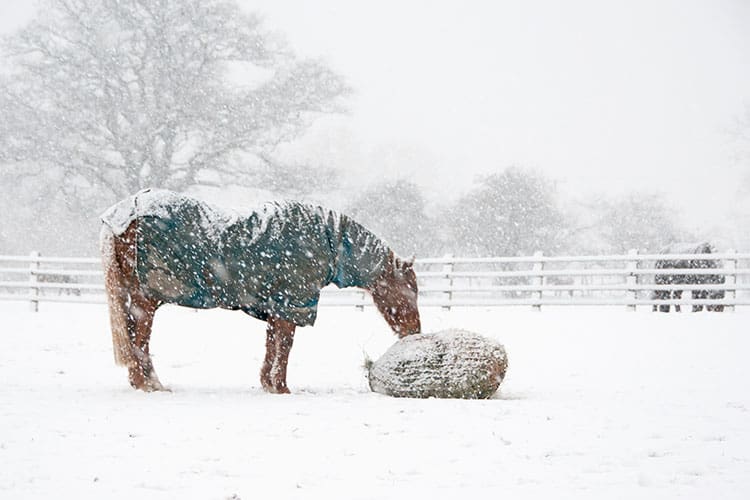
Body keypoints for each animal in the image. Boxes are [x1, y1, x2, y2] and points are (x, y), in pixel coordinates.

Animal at [100, 189, 421, 393]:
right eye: (411, 291)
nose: (414, 331)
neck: (326, 239)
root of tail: (122, 213)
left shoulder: (276, 309)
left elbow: (272, 346)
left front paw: (269, 384)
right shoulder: (292, 306)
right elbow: (284, 347)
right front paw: (282, 388)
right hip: (146, 301)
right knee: (139, 342)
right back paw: (149, 385)